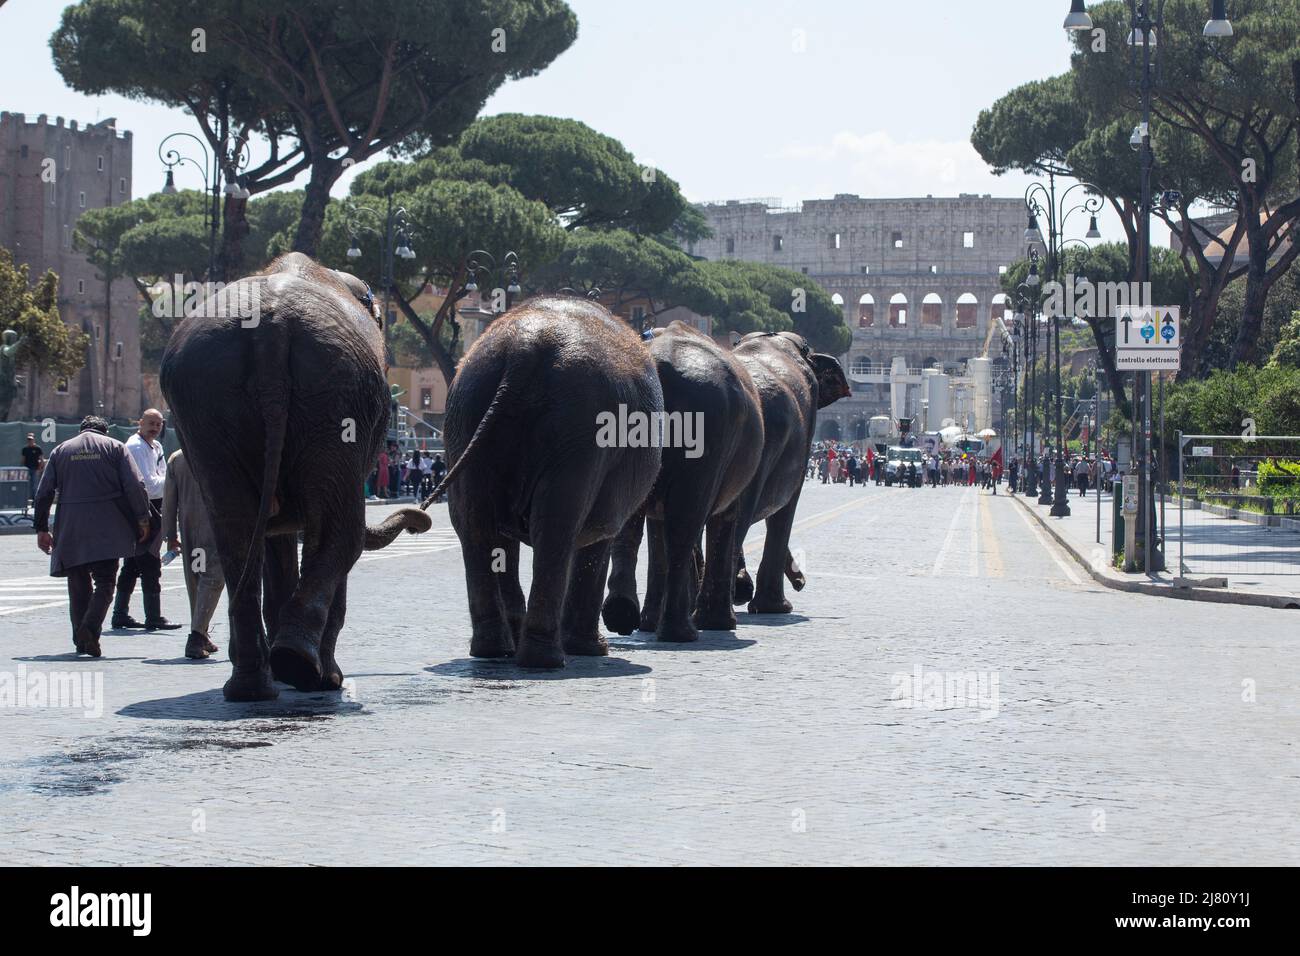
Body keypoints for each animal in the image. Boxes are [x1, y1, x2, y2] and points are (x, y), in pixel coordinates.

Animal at [161, 253, 431, 702]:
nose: (421, 521)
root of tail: (271, 328)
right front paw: (328, 679)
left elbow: (273, 537)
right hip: (335, 398)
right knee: (340, 533)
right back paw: (300, 667)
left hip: (210, 401)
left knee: (235, 530)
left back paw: (252, 685)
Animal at [425, 295, 663, 669]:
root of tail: (525, 348)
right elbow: (598, 537)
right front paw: (591, 649)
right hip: (582, 428)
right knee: (555, 529)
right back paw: (545, 658)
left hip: (465, 415)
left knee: (475, 525)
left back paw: (495, 649)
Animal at [600, 321, 764, 642]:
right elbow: (723, 520)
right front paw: (719, 623)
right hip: (707, 431)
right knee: (685, 525)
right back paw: (683, 631)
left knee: (634, 520)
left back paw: (625, 614)